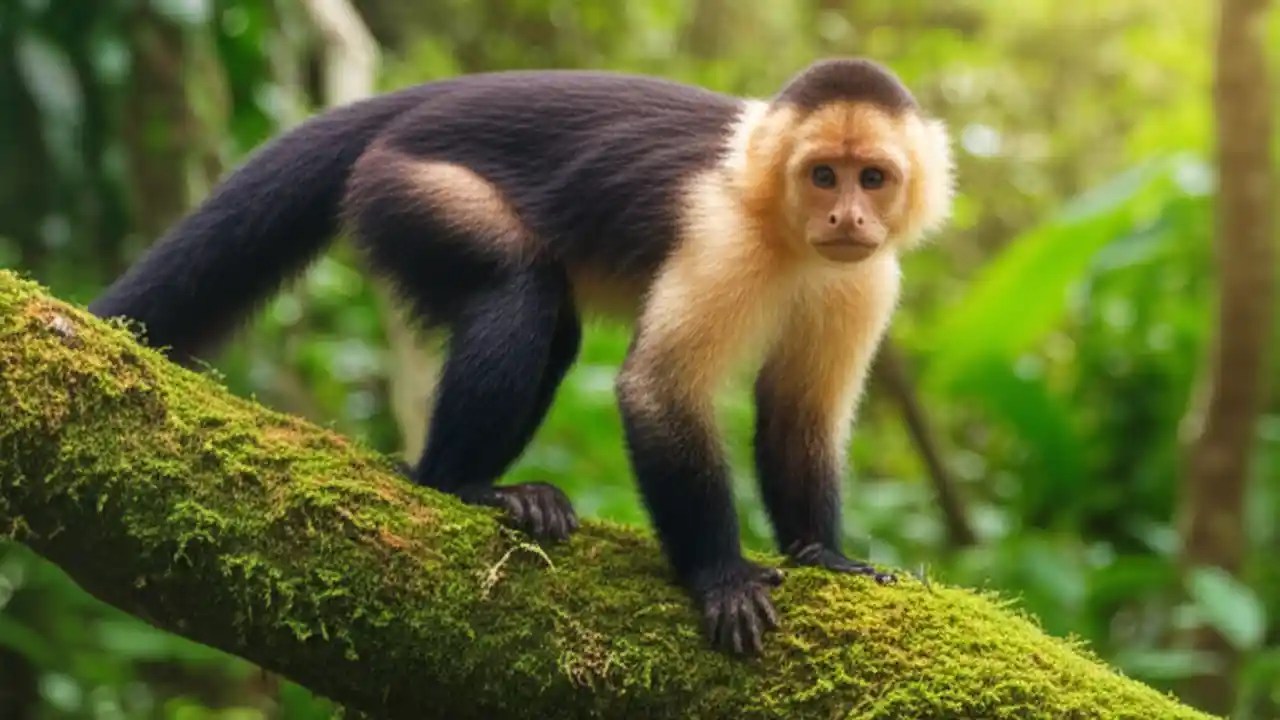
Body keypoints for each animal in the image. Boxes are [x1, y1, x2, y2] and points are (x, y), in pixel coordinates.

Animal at [89, 57, 954, 656]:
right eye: (822, 175)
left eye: (872, 178)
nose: (846, 216)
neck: (783, 227)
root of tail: (432, 100)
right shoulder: (722, 235)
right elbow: (656, 391)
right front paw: (721, 577)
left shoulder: (867, 277)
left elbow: (800, 415)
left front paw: (824, 554)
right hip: (408, 186)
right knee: (520, 288)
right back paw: (459, 483)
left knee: (555, 327)